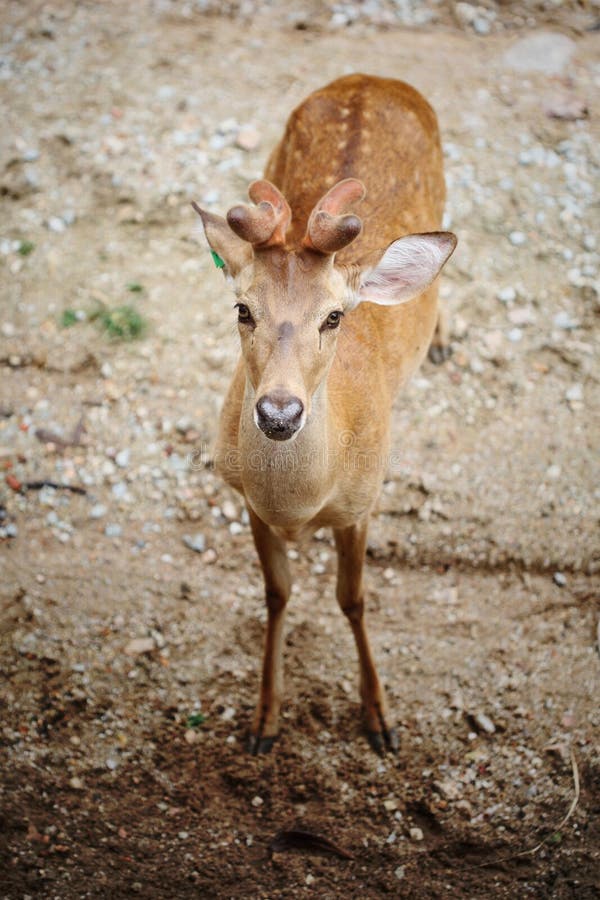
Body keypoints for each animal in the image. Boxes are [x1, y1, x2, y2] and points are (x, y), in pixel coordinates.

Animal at [192, 73, 456, 755]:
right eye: (243, 309)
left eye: (334, 316)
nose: (279, 412)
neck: (302, 502)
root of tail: (372, 79)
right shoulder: (247, 501)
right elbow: (277, 595)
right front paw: (263, 721)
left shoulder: (364, 500)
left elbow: (354, 599)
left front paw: (382, 719)